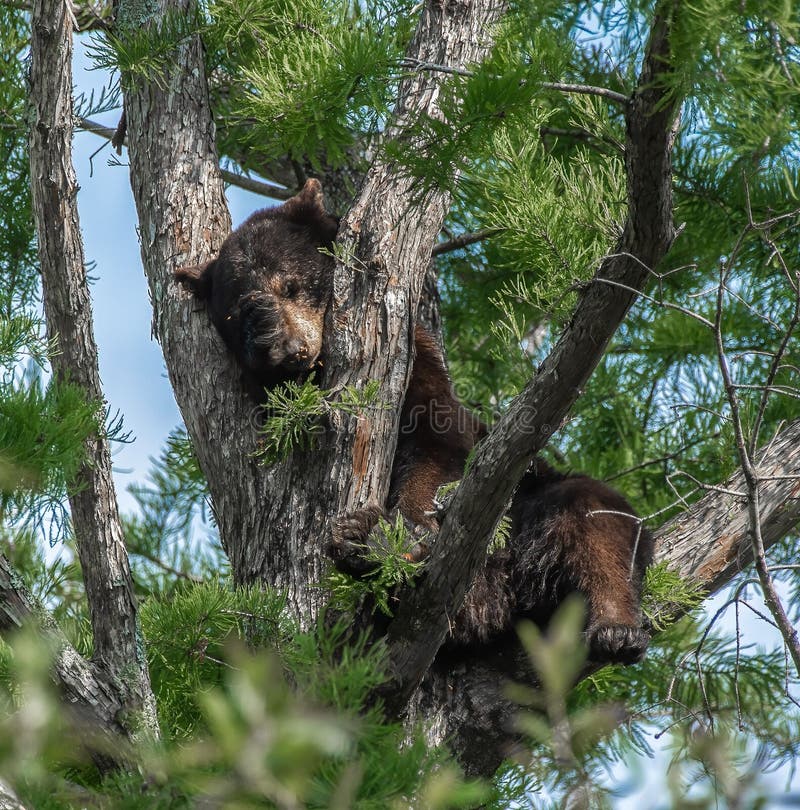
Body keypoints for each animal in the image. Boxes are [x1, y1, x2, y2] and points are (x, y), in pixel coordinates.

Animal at [175, 178, 653, 665]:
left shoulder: (416, 379)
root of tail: (496, 601)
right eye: (237, 311)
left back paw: (615, 628)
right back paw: (360, 544)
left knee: (593, 518)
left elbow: (437, 451)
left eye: (290, 284)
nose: (287, 347)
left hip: (530, 507)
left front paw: (407, 530)